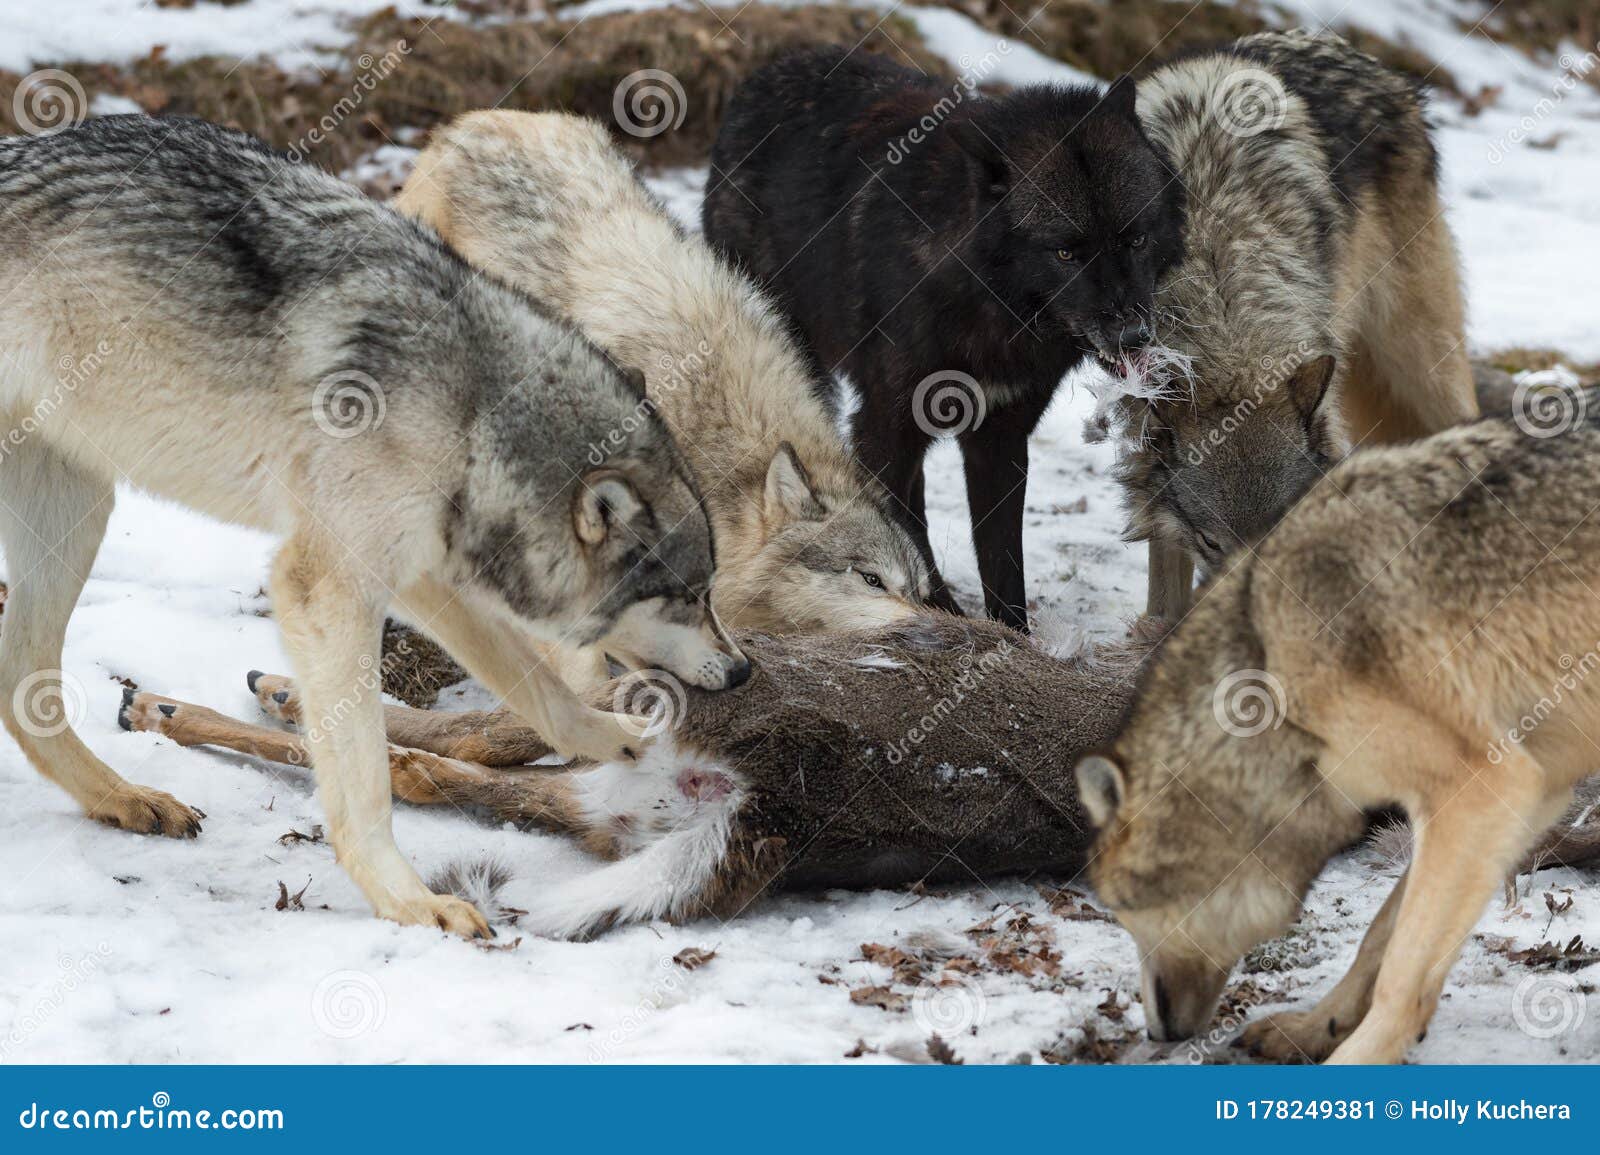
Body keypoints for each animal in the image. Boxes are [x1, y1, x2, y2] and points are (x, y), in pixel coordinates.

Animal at [0, 115, 745, 937]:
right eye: (692, 594)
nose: (745, 669)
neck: (469, 413)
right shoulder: (325, 586)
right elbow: (365, 783)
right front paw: (411, 902)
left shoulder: (420, 574)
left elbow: (540, 691)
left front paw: (619, 741)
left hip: (77, 512)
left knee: (18, 675)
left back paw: (123, 798)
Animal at [703, 47, 1186, 631]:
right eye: (1066, 253)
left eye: (1136, 239)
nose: (1135, 336)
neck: (988, 307)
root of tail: (774, 65)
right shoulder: (884, 425)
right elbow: (898, 526)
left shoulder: (1000, 435)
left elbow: (1002, 558)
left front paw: (1012, 634)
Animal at [1075, 389, 1600, 1063]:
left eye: (1120, 910)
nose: (1158, 1031)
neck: (1272, 663)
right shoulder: (1530, 792)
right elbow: (1381, 937)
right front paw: (1314, 1026)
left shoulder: (1484, 785)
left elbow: (1402, 971)